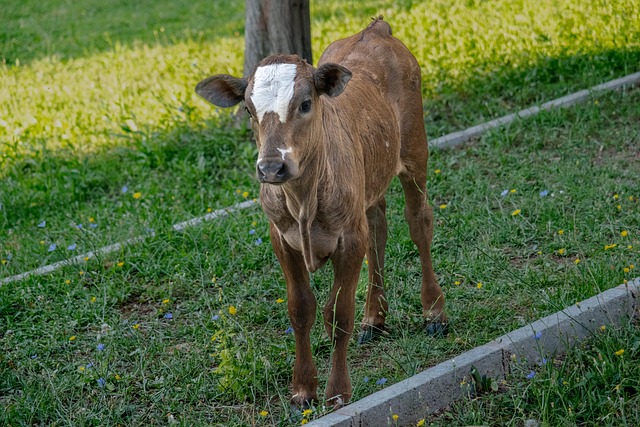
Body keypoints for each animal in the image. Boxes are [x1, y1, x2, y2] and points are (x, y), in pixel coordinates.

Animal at [195, 17, 447, 408]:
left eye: (305, 103)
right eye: (249, 110)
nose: (271, 167)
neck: (303, 201)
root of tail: (376, 29)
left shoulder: (348, 238)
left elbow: (340, 313)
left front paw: (338, 392)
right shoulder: (282, 239)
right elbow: (301, 309)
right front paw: (303, 389)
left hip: (415, 150)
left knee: (419, 221)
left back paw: (434, 312)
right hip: (368, 184)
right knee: (378, 228)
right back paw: (373, 319)